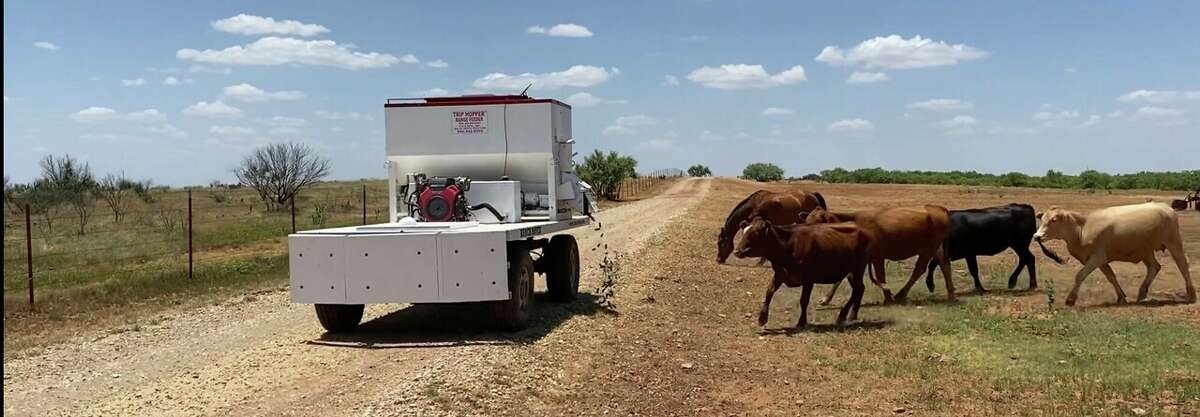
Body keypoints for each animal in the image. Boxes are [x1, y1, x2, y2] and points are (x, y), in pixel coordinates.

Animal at [733, 217, 874, 328]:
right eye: (744, 231)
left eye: (754, 233)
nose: (736, 251)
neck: (788, 246)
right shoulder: (780, 274)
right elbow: (769, 292)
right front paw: (762, 319)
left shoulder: (808, 279)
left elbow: (803, 301)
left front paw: (801, 322)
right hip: (850, 272)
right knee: (859, 289)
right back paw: (849, 315)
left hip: (857, 269)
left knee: (858, 289)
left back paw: (845, 315)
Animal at [805, 206, 956, 304]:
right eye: (806, 221)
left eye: (816, 222)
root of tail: (938, 208)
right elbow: (842, 277)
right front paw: (826, 299)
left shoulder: (877, 256)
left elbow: (880, 275)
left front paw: (888, 298)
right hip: (936, 248)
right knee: (945, 265)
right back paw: (951, 294)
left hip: (928, 249)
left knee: (919, 270)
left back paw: (900, 295)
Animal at [921, 204, 1065, 293]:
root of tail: (1025, 207)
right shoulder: (964, 253)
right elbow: (934, 264)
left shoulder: (965, 252)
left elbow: (972, 270)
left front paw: (930, 285)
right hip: (1018, 245)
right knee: (1027, 259)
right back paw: (1023, 283)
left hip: (1020, 244)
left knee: (1028, 258)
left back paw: (1021, 283)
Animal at [1034, 202, 1196, 306]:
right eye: (1042, 219)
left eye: (1053, 220)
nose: (1036, 236)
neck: (1082, 229)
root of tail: (1166, 207)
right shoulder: (1101, 260)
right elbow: (1111, 277)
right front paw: (1121, 297)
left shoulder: (1097, 258)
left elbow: (1080, 275)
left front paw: (1070, 299)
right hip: (1146, 251)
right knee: (1154, 267)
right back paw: (1142, 293)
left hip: (1174, 243)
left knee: (1183, 265)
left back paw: (1191, 294)